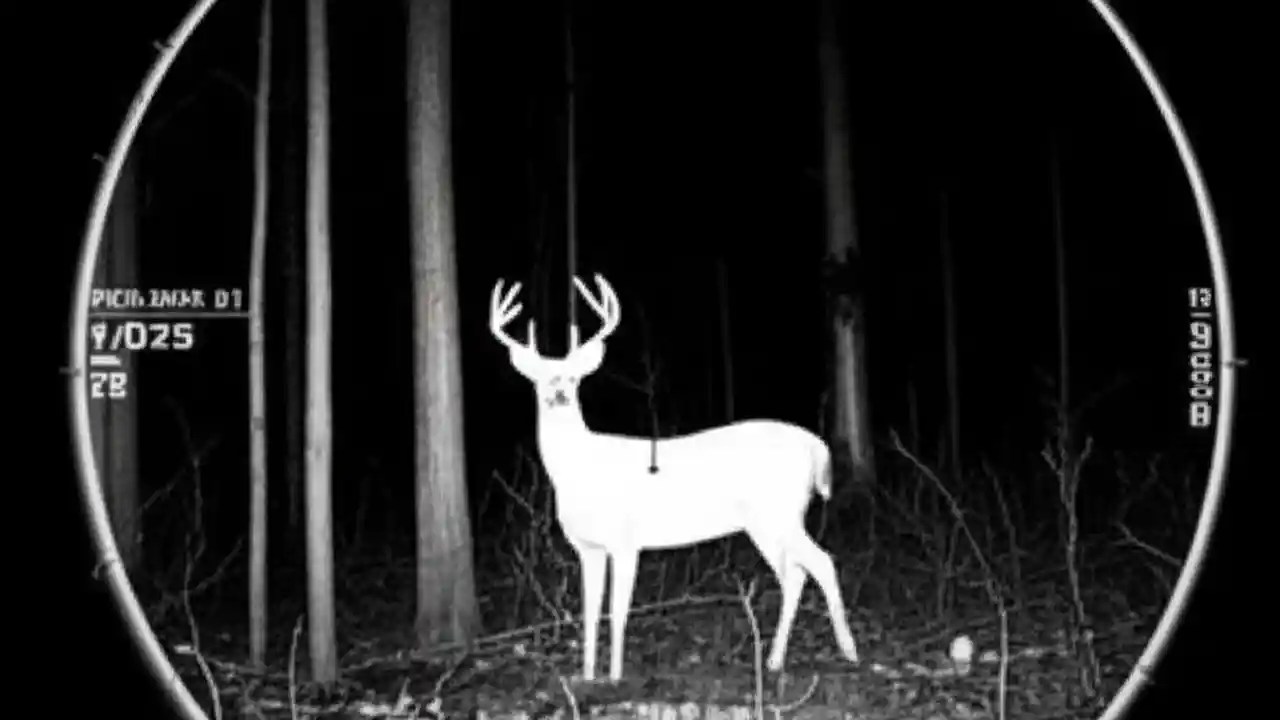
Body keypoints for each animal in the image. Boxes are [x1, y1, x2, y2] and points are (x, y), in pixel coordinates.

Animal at [488, 273, 861, 682]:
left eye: (573, 378)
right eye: (539, 378)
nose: (557, 393)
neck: (578, 472)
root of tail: (817, 447)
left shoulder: (625, 540)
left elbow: (618, 612)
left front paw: (614, 677)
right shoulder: (587, 547)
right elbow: (590, 613)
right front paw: (586, 676)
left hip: (778, 512)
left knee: (822, 562)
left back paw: (848, 651)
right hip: (768, 522)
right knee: (794, 573)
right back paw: (774, 661)